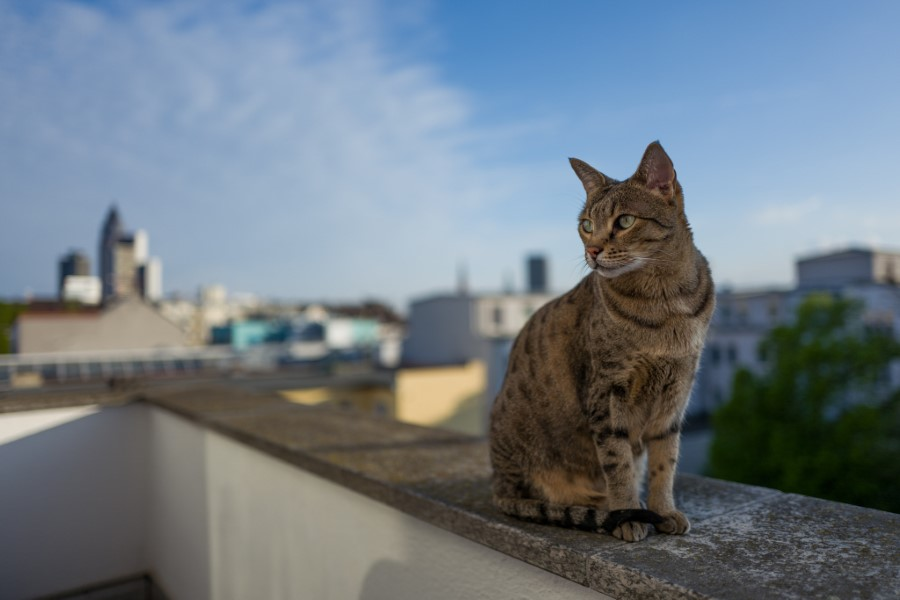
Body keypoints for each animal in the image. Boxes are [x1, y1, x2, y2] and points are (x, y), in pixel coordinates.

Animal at [488, 142, 712, 544]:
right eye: (586, 225)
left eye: (624, 222)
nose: (592, 251)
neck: (665, 300)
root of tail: (499, 486)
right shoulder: (607, 393)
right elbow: (618, 463)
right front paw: (628, 515)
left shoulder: (677, 391)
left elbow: (664, 461)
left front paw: (663, 511)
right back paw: (608, 506)